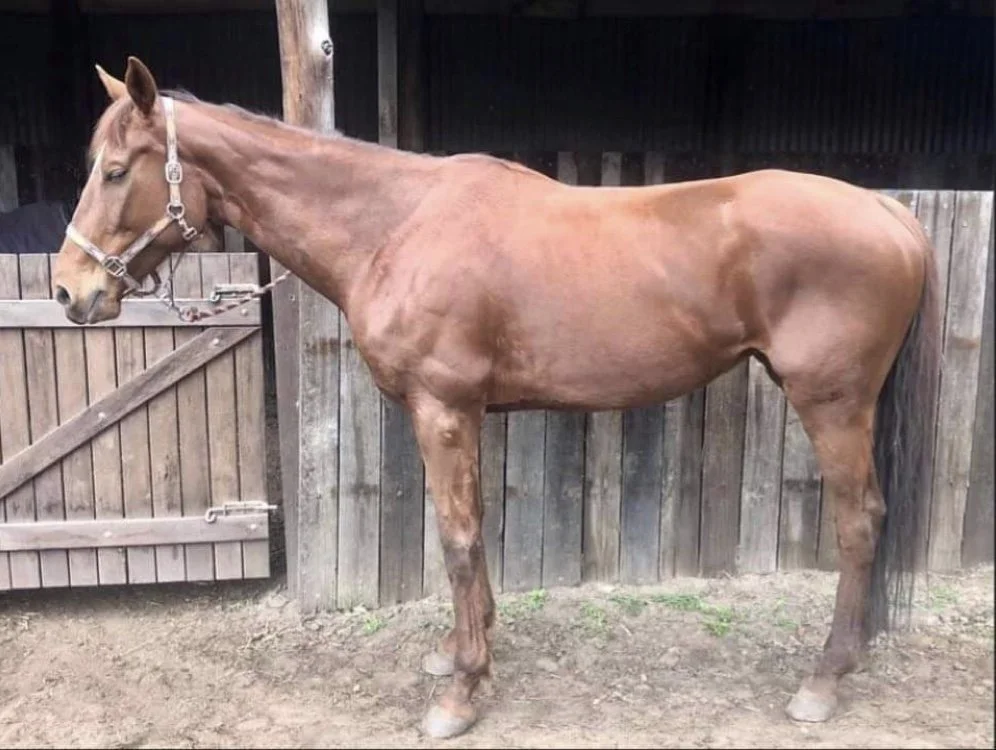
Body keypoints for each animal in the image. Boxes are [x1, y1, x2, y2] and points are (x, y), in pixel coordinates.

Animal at [52, 57, 940, 740]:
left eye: (115, 170)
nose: (69, 290)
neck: (394, 224)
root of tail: (888, 212)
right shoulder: (457, 415)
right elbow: (468, 542)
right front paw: (460, 653)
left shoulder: (444, 409)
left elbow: (457, 541)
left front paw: (459, 694)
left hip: (833, 403)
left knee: (859, 523)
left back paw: (822, 680)